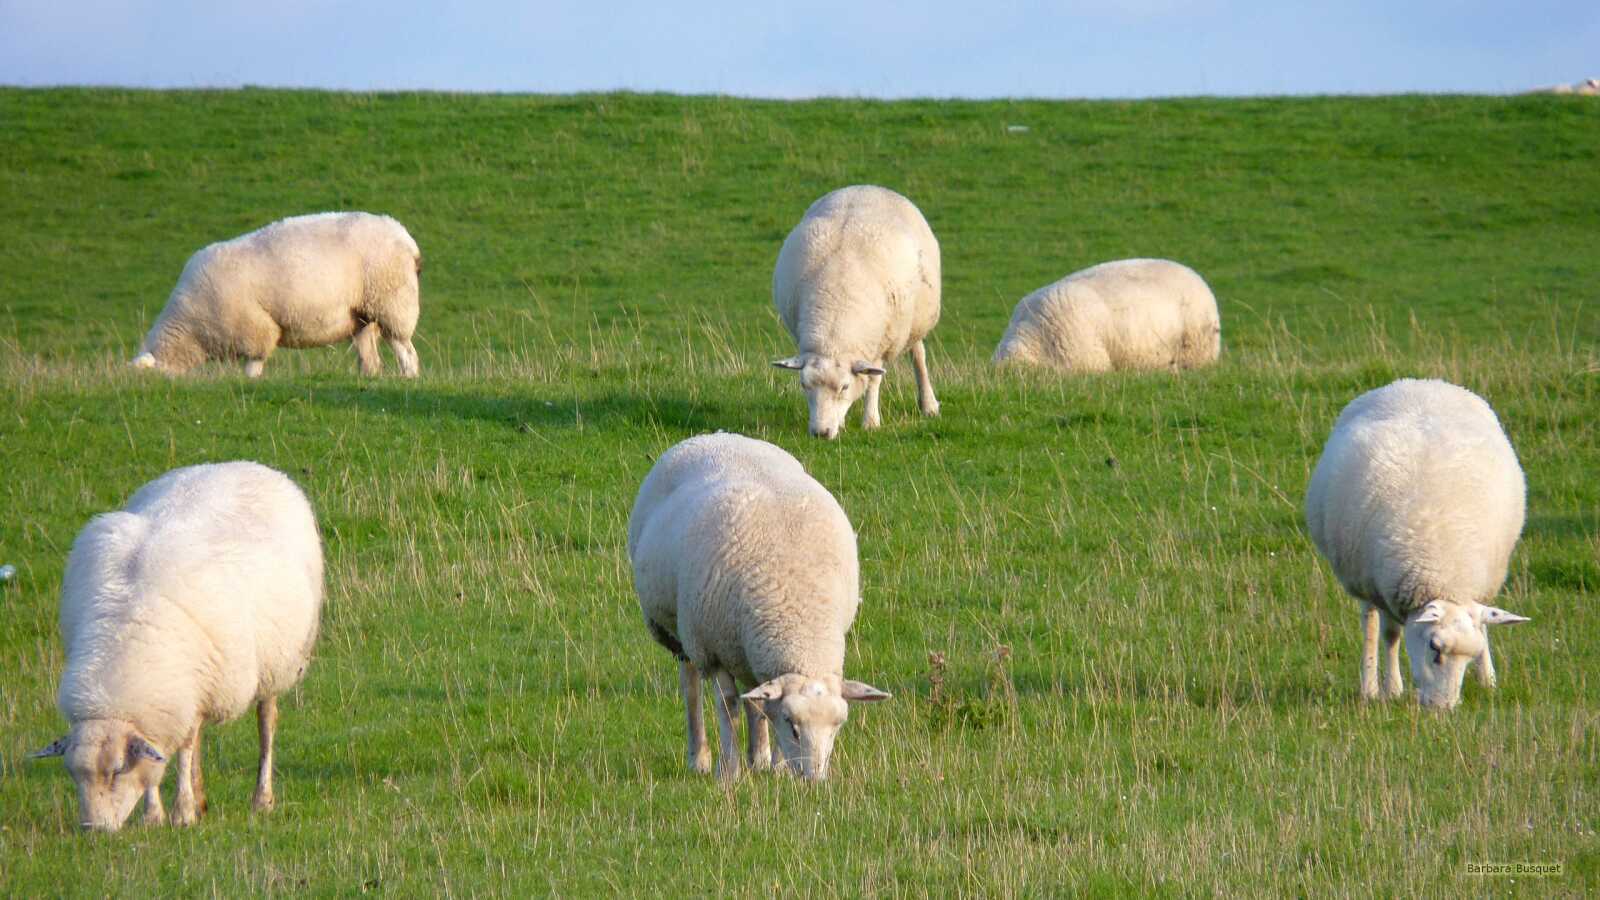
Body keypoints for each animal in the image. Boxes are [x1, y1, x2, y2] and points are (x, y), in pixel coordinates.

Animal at [29, 461, 324, 830]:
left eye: (118, 771)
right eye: (73, 773)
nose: (92, 829)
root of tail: (241, 464)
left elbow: (182, 750)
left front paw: (182, 812)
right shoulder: (177, 695)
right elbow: (170, 755)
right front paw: (156, 815)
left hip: (276, 664)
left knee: (266, 723)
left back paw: (261, 799)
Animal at [132, 212, 422, 378]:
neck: (190, 326)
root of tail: (404, 235)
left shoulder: (254, 327)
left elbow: (255, 360)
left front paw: (250, 380)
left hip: (392, 301)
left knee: (405, 348)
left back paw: (409, 376)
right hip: (362, 315)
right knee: (369, 355)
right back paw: (368, 377)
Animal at [628, 432, 891, 781]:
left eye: (837, 726)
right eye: (793, 726)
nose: (815, 780)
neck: (799, 618)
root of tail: (715, 435)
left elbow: (761, 706)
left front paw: (776, 767)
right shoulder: (712, 650)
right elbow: (728, 707)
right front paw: (729, 771)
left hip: (744, 648)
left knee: (754, 695)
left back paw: (760, 757)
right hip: (683, 634)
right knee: (691, 687)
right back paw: (699, 757)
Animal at [771, 185, 942, 439]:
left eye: (845, 387)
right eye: (804, 385)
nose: (821, 433)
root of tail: (868, 187)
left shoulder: (880, 346)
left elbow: (873, 381)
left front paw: (871, 422)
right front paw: (841, 423)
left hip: (914, 323)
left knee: (918, 355)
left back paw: (929, 405)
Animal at [1304, 378, 1530, 709]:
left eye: (1469, 657)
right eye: (1434, 647)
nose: (1443, 708)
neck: (1442, 567)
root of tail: (1420, 382)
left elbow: (1482, 623)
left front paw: (1487, 679)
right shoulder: (1380, 585)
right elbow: (1387, 634)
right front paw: (1388, 689)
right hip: (1364, 576)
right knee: (1372, 624)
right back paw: (1372, 686)